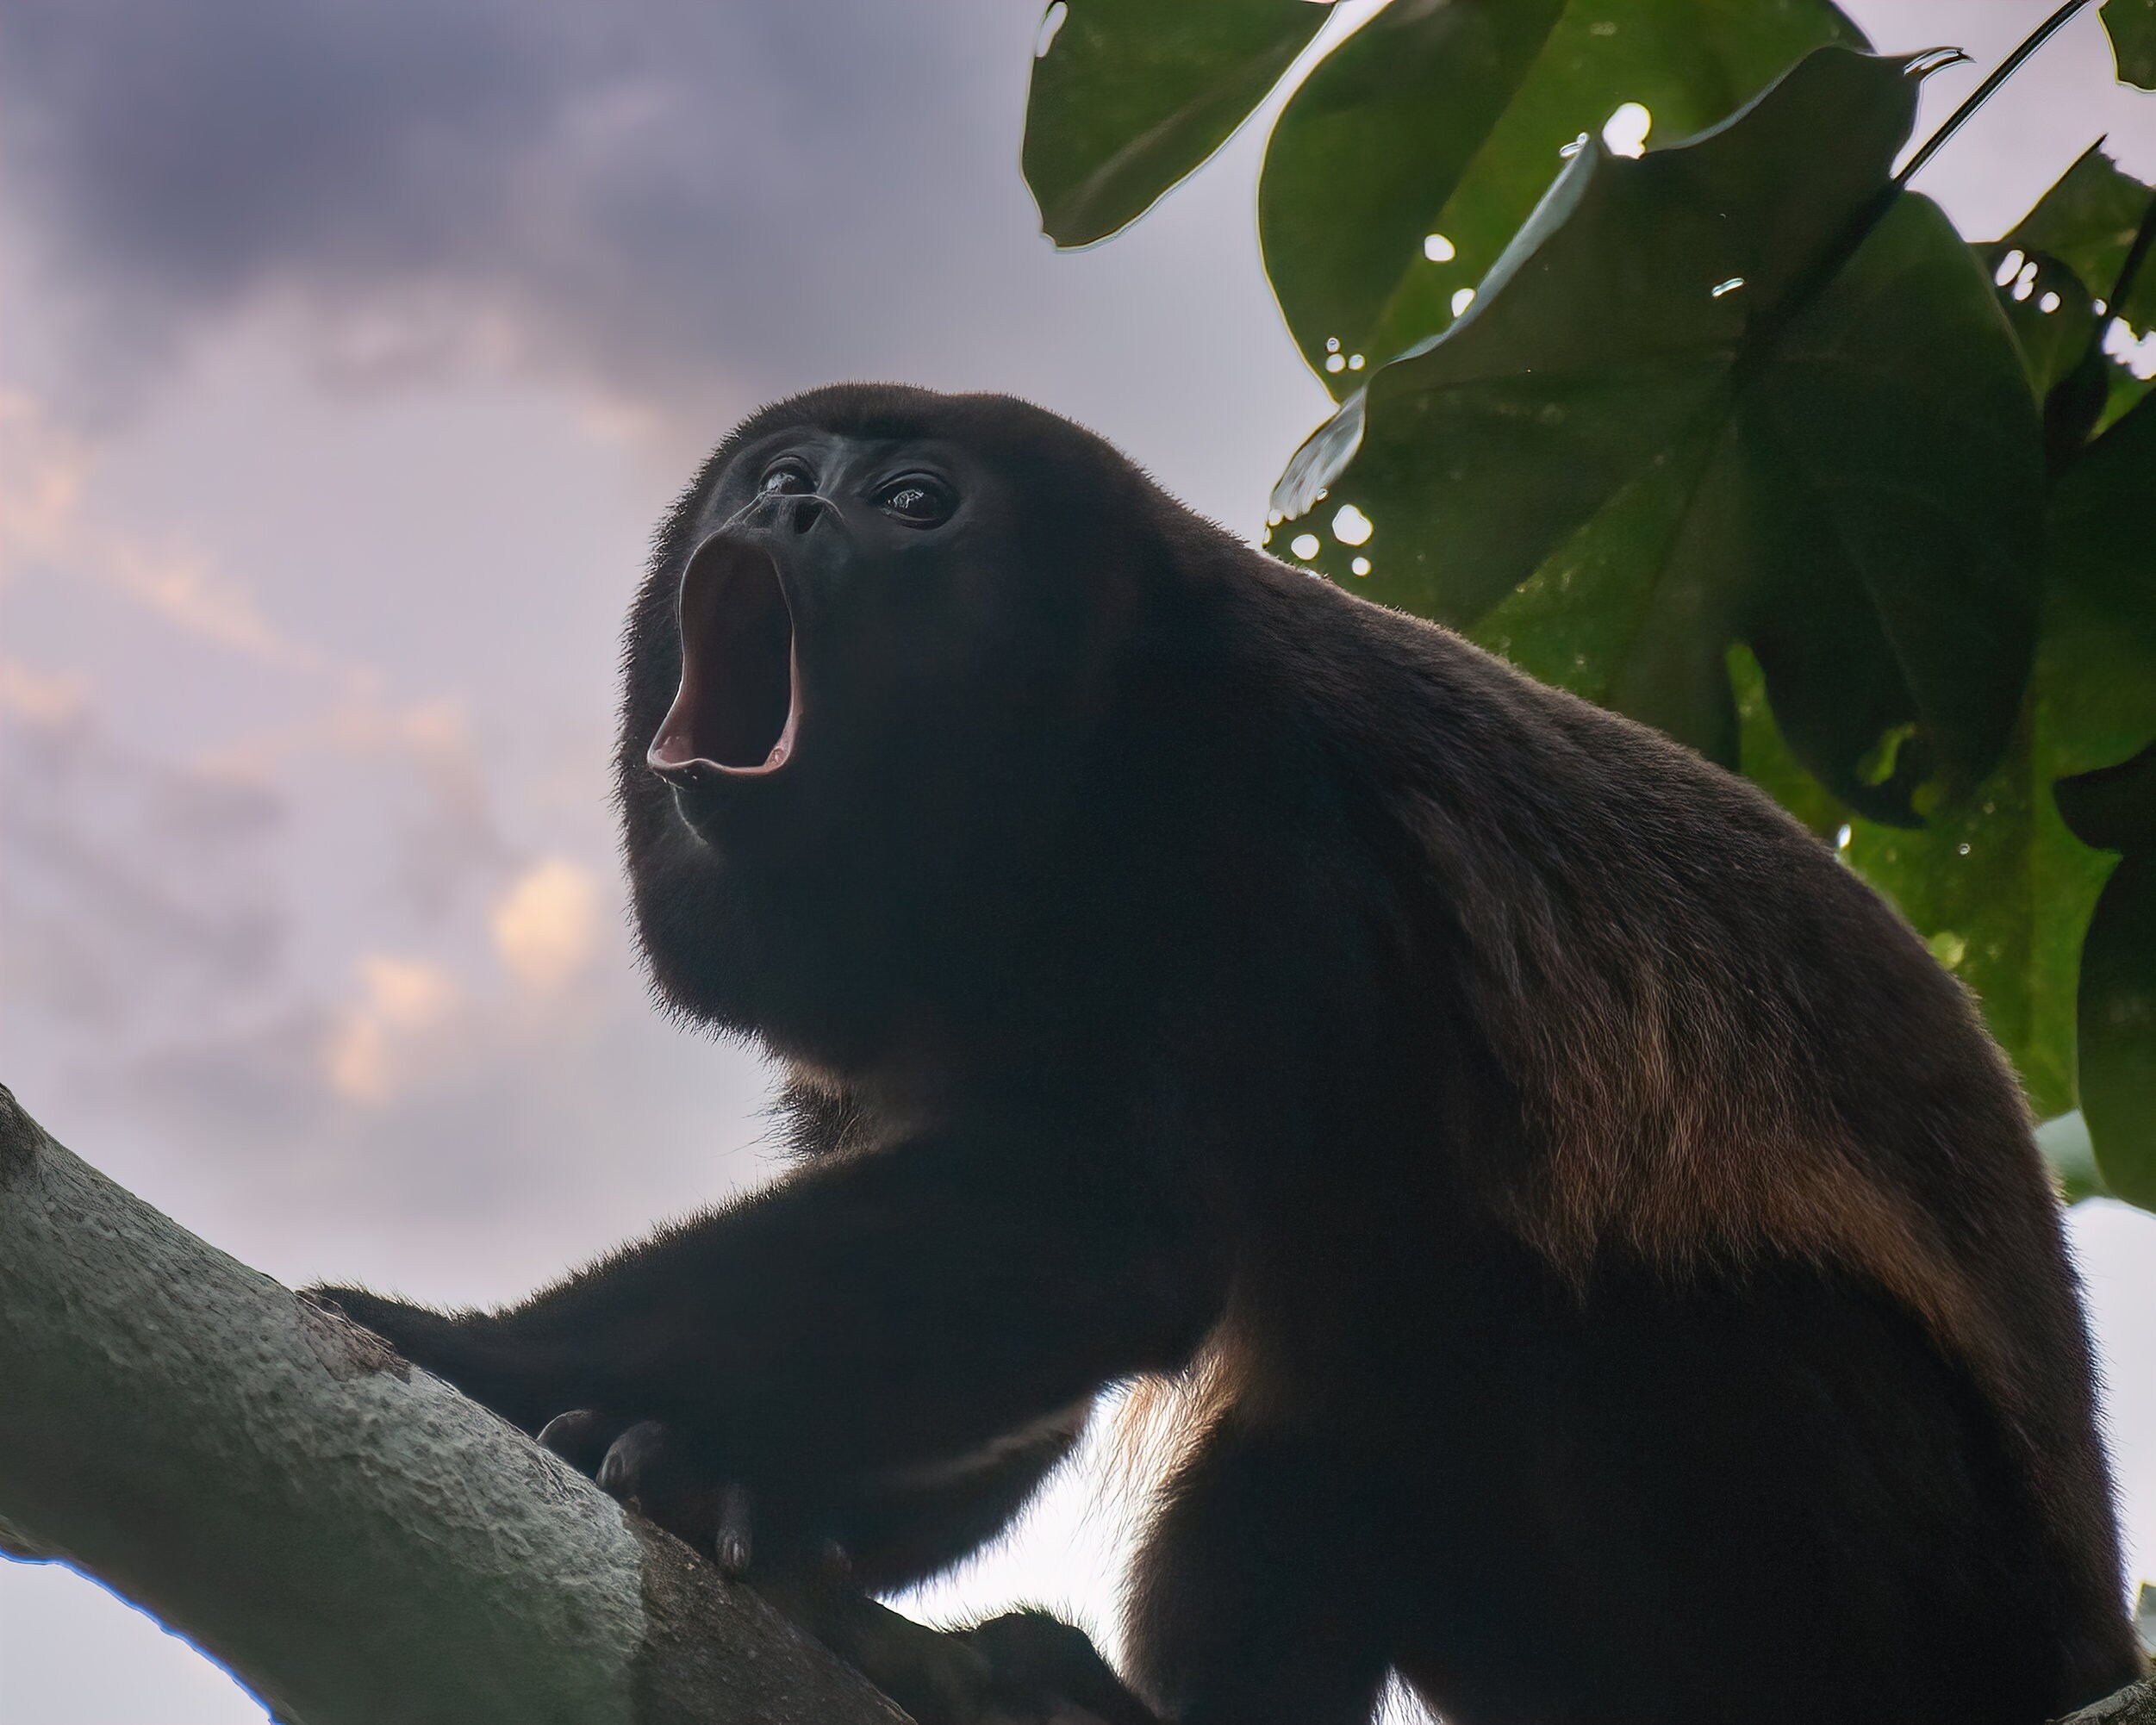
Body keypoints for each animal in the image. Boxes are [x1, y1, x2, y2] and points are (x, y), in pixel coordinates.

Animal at [316, 384, 2145, 1725]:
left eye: (912, 501)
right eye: (776, 472)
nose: (785, 512)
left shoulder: (1242, 814)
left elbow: (1098, 1232)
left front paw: (462, 1347)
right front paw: (722, 1483)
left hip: (1908, 1586)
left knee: (1571, 1322)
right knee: (1315, 1441)